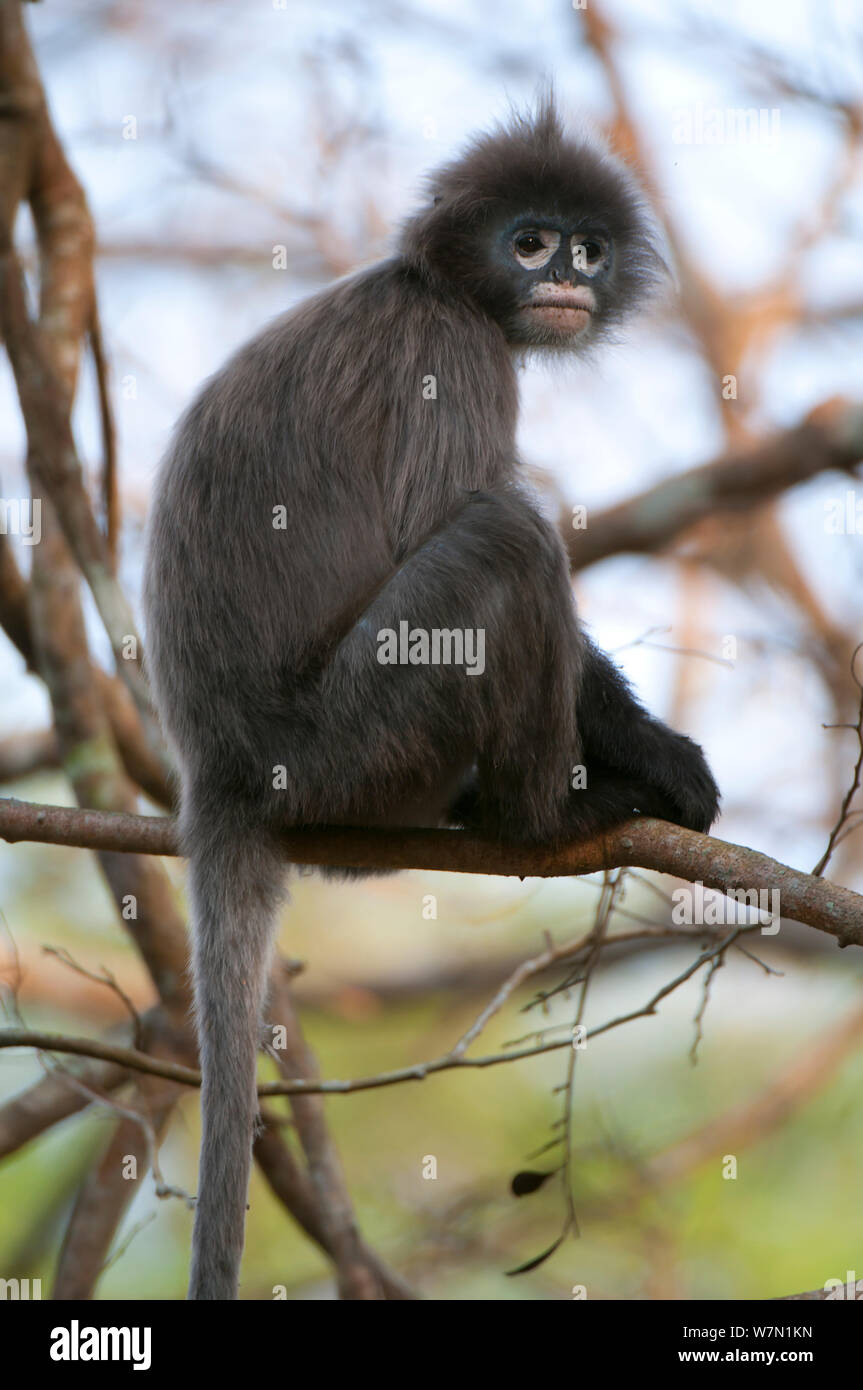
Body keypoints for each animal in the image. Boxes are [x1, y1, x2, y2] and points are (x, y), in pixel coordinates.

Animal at [143, 99, 719, 1300]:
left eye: (586, 247)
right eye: (529, 243)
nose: (568, 278)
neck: (431, 284)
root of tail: (219, 773)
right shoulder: (449, 358)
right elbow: (449, 521)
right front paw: (656, 763)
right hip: (353, 744)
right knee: (504, 536)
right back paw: (545, 816)